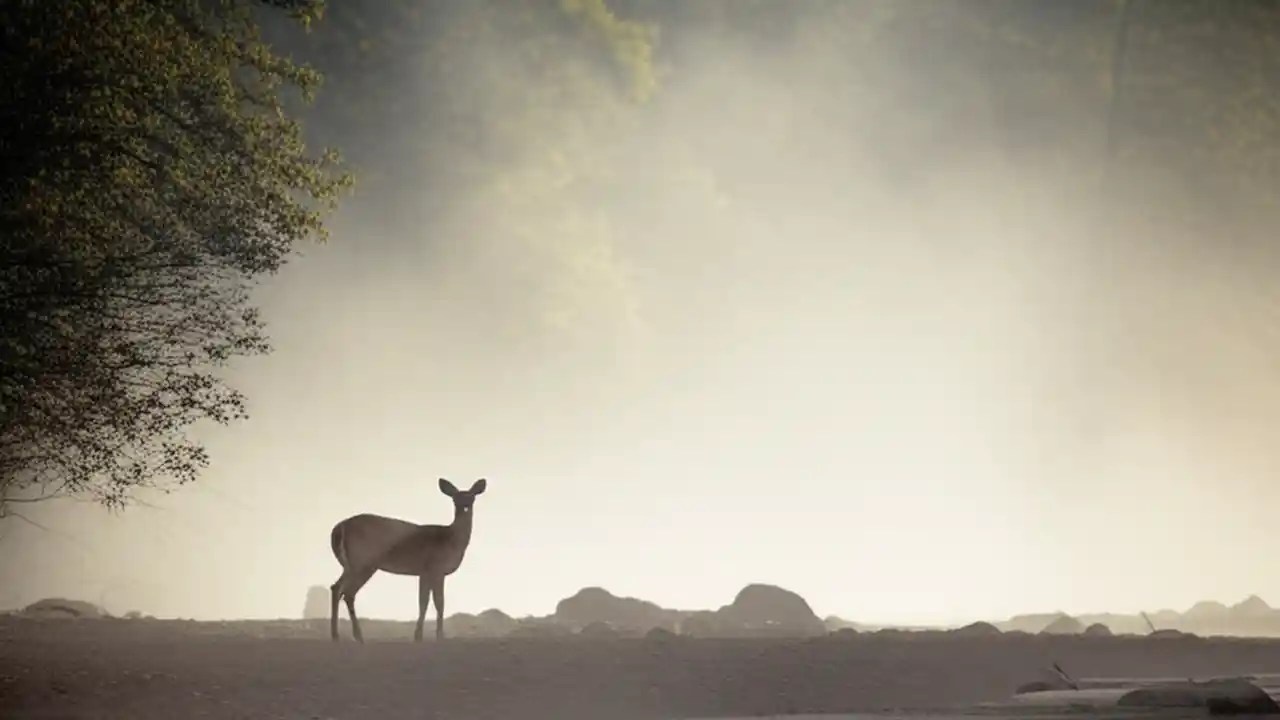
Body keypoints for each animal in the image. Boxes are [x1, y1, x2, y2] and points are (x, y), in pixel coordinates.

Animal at [328, 478, 487, 643]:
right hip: (363, 562)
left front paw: (419, 636)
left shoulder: (424, 572)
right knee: (347, 592)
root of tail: (339, 528)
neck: (451, 540)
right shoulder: (435, 568)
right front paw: (437, 636)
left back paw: (337, 635)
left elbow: (424, 601)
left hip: (351, 565)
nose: (465, 508)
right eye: (455, 499)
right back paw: (356, 636)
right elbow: (438, 602)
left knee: (336, 588)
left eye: (472, 498)